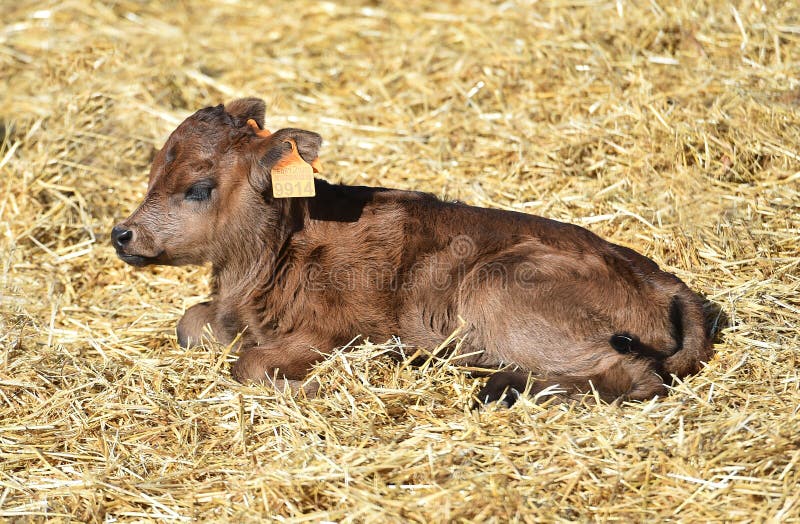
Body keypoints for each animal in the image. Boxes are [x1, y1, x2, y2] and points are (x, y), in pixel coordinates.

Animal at [111, 97, 714, 405]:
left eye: (199, 188)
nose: (123, 234)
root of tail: (664, 281)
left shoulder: (333, 333)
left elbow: (249, 363)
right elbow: (191, 324)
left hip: (497, 286)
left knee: (634, 378)